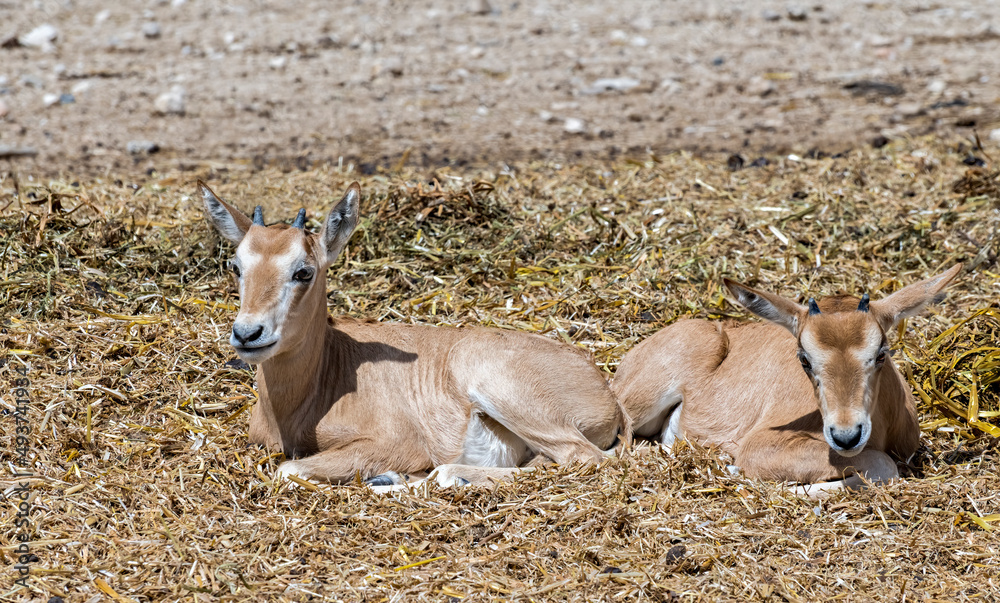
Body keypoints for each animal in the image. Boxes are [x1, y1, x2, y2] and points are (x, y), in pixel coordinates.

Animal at [199, 181, 630, 489]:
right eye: (236, 266)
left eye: (303, 270)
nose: (248, 334)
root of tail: (603, 390)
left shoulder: (394, 444)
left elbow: (288, 470)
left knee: (582, 458)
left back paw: (444, 476)